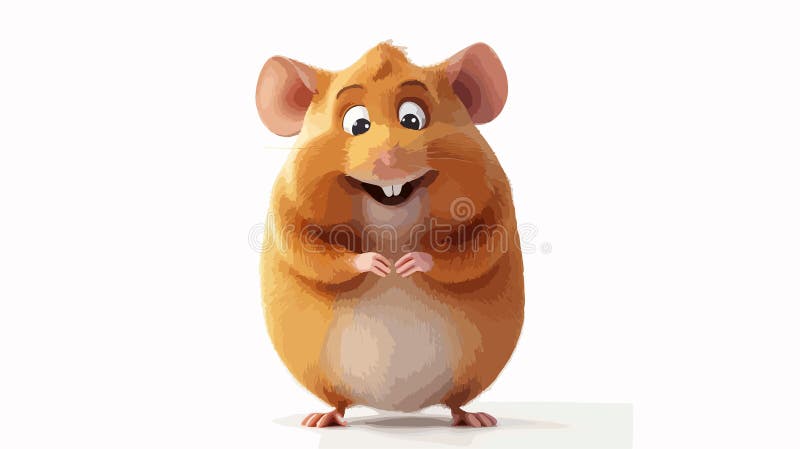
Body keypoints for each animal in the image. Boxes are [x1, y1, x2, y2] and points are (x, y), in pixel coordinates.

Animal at [256, 42, 524, 428]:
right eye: (357, 124)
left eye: (413, 119)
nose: (389, 158)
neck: (391, 218)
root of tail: (400, 407)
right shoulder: (286, 211)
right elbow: (312, 251)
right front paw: (378, 263)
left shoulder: (498, 206)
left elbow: (474, 251)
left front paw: (411, 262)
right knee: (338, 404)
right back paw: (321, 418)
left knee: (457, 404)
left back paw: (475, 418)